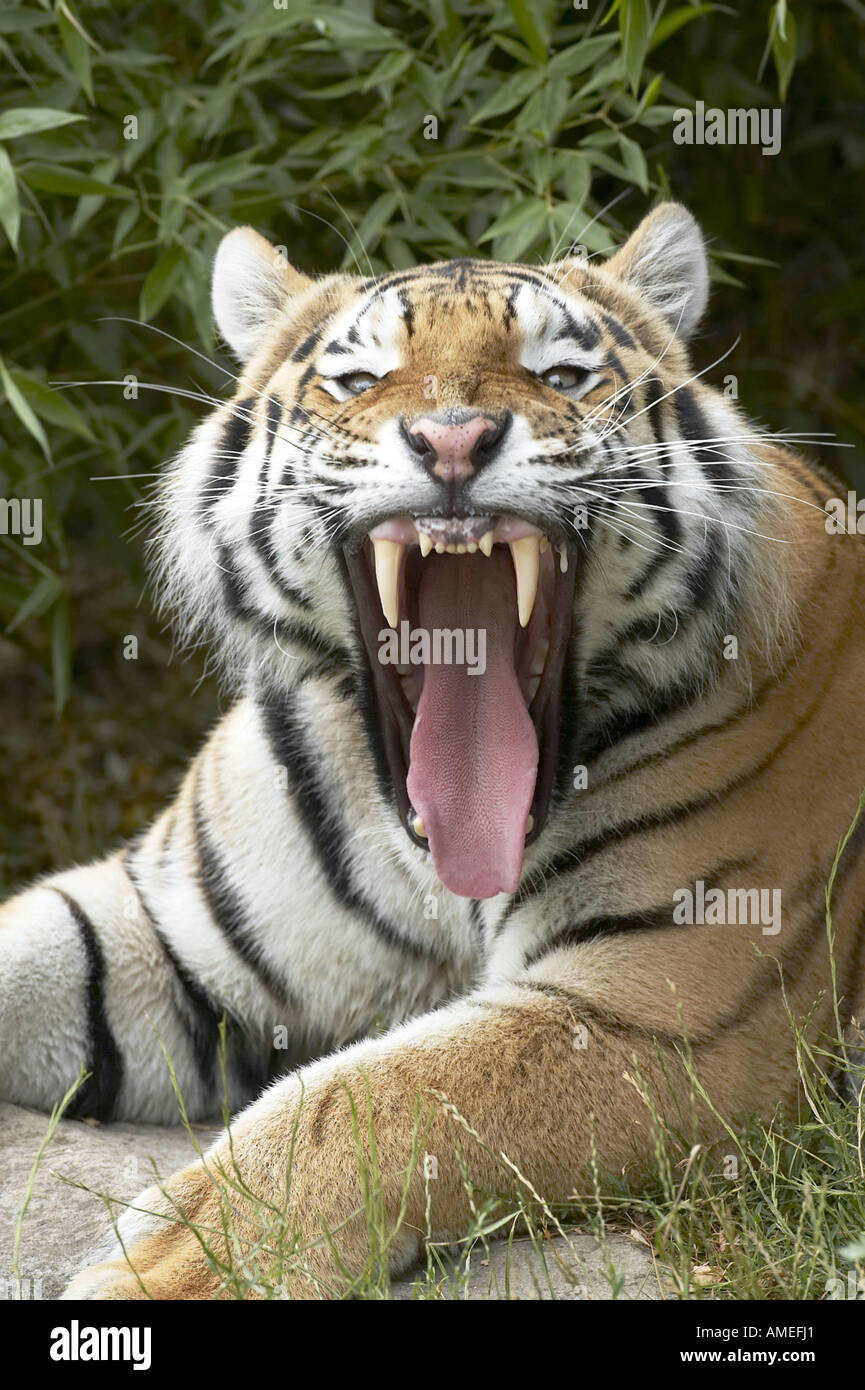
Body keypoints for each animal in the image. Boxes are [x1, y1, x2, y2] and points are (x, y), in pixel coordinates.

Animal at [1, 201, 863, 1300]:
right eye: (358, 379)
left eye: (561, 374)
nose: (452, 439)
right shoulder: (169, 929)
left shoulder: (665, 1003)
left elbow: (373, 1097)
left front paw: (170, 1269)